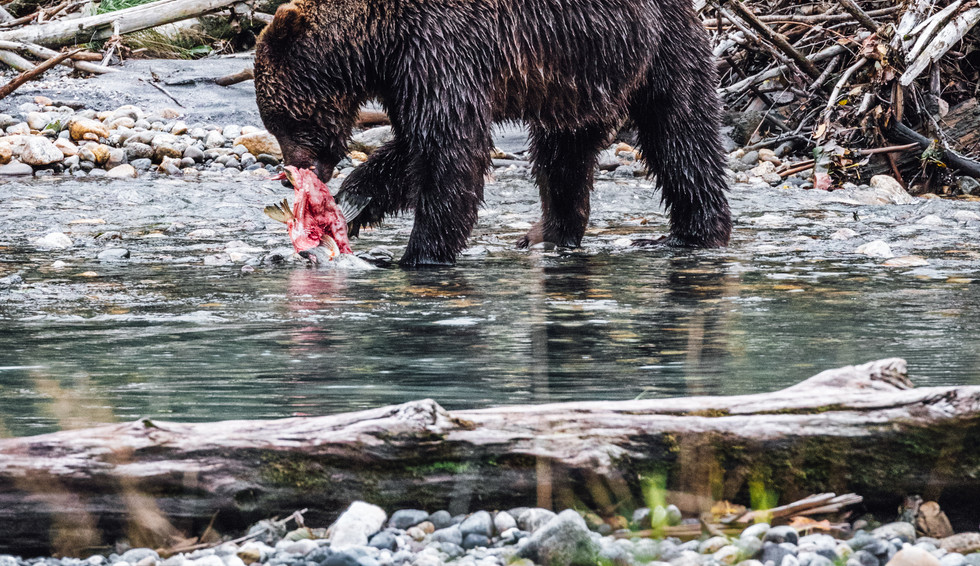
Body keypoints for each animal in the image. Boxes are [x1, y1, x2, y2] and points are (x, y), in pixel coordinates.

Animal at [254, 0, 731, 267]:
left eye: (283, 121)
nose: (294, 171)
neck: (376, 40)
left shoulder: (441, 47)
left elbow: (448, 149)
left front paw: (420, 253)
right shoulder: (407, 72)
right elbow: (411, 148)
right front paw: (352, 203)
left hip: (655, 46)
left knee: (681, 132)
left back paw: (692, 234)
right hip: (580, 76)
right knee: (563, 155)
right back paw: (547, 234)